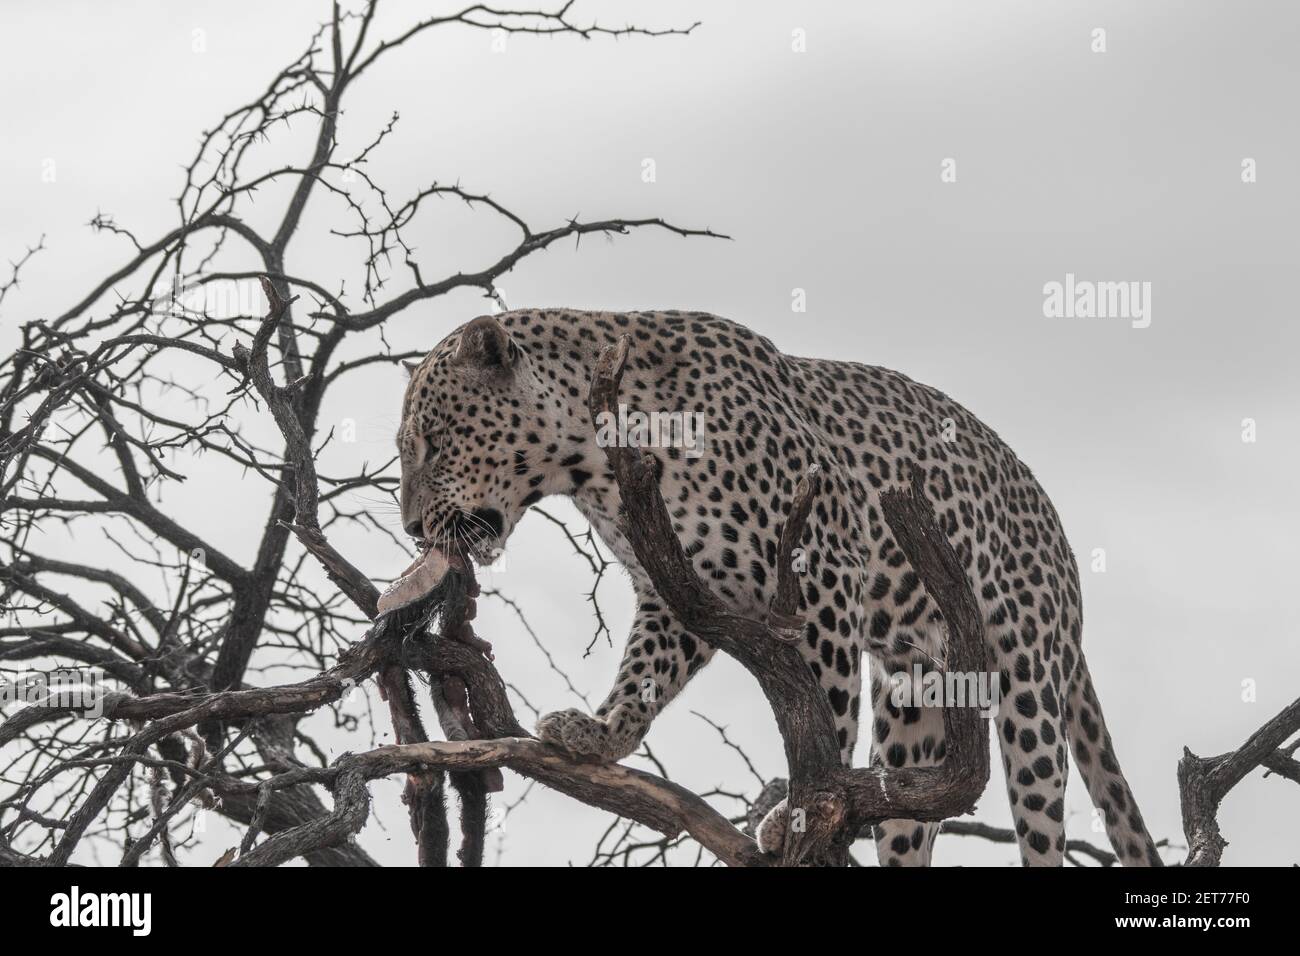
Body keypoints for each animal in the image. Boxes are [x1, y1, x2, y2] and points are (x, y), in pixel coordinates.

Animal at [396, 308, 1162, 866]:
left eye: (431, 442)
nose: (410, 527)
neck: (596, 462)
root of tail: (1058, 532)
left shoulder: (823, 573)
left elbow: (826, 713)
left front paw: (800, 811)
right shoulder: (675, 590)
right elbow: (644, 669)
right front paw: (600, 731)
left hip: (1028, 683)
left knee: (1041, 819)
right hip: (915, 693)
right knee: (909, 820)